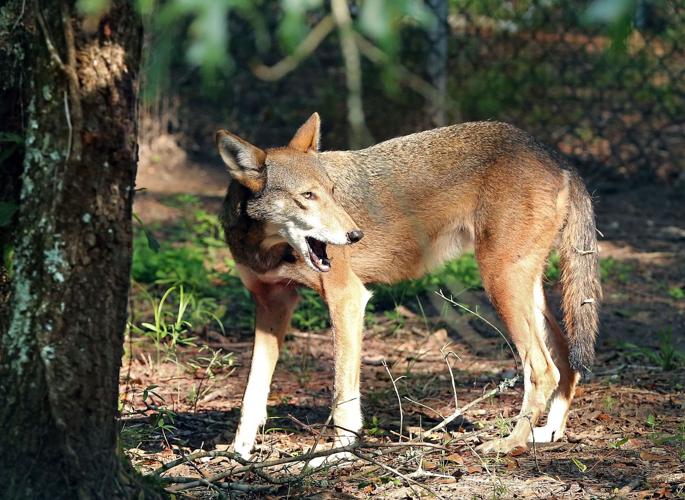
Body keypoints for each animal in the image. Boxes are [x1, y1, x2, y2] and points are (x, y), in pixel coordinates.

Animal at [215, 113, 601, 465]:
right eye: (307, 196)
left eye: (333, 193)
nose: (355, 235)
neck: (267, 247)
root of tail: (556, 157)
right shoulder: (272, 303)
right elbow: (252, 395)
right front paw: (238, 453)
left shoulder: (348, 298)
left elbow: (342, 394)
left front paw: (339, 454)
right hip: (524, 291)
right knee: (566, 360)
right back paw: (548, 434)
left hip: (501, 285)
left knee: (543, 369)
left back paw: (510, 444)